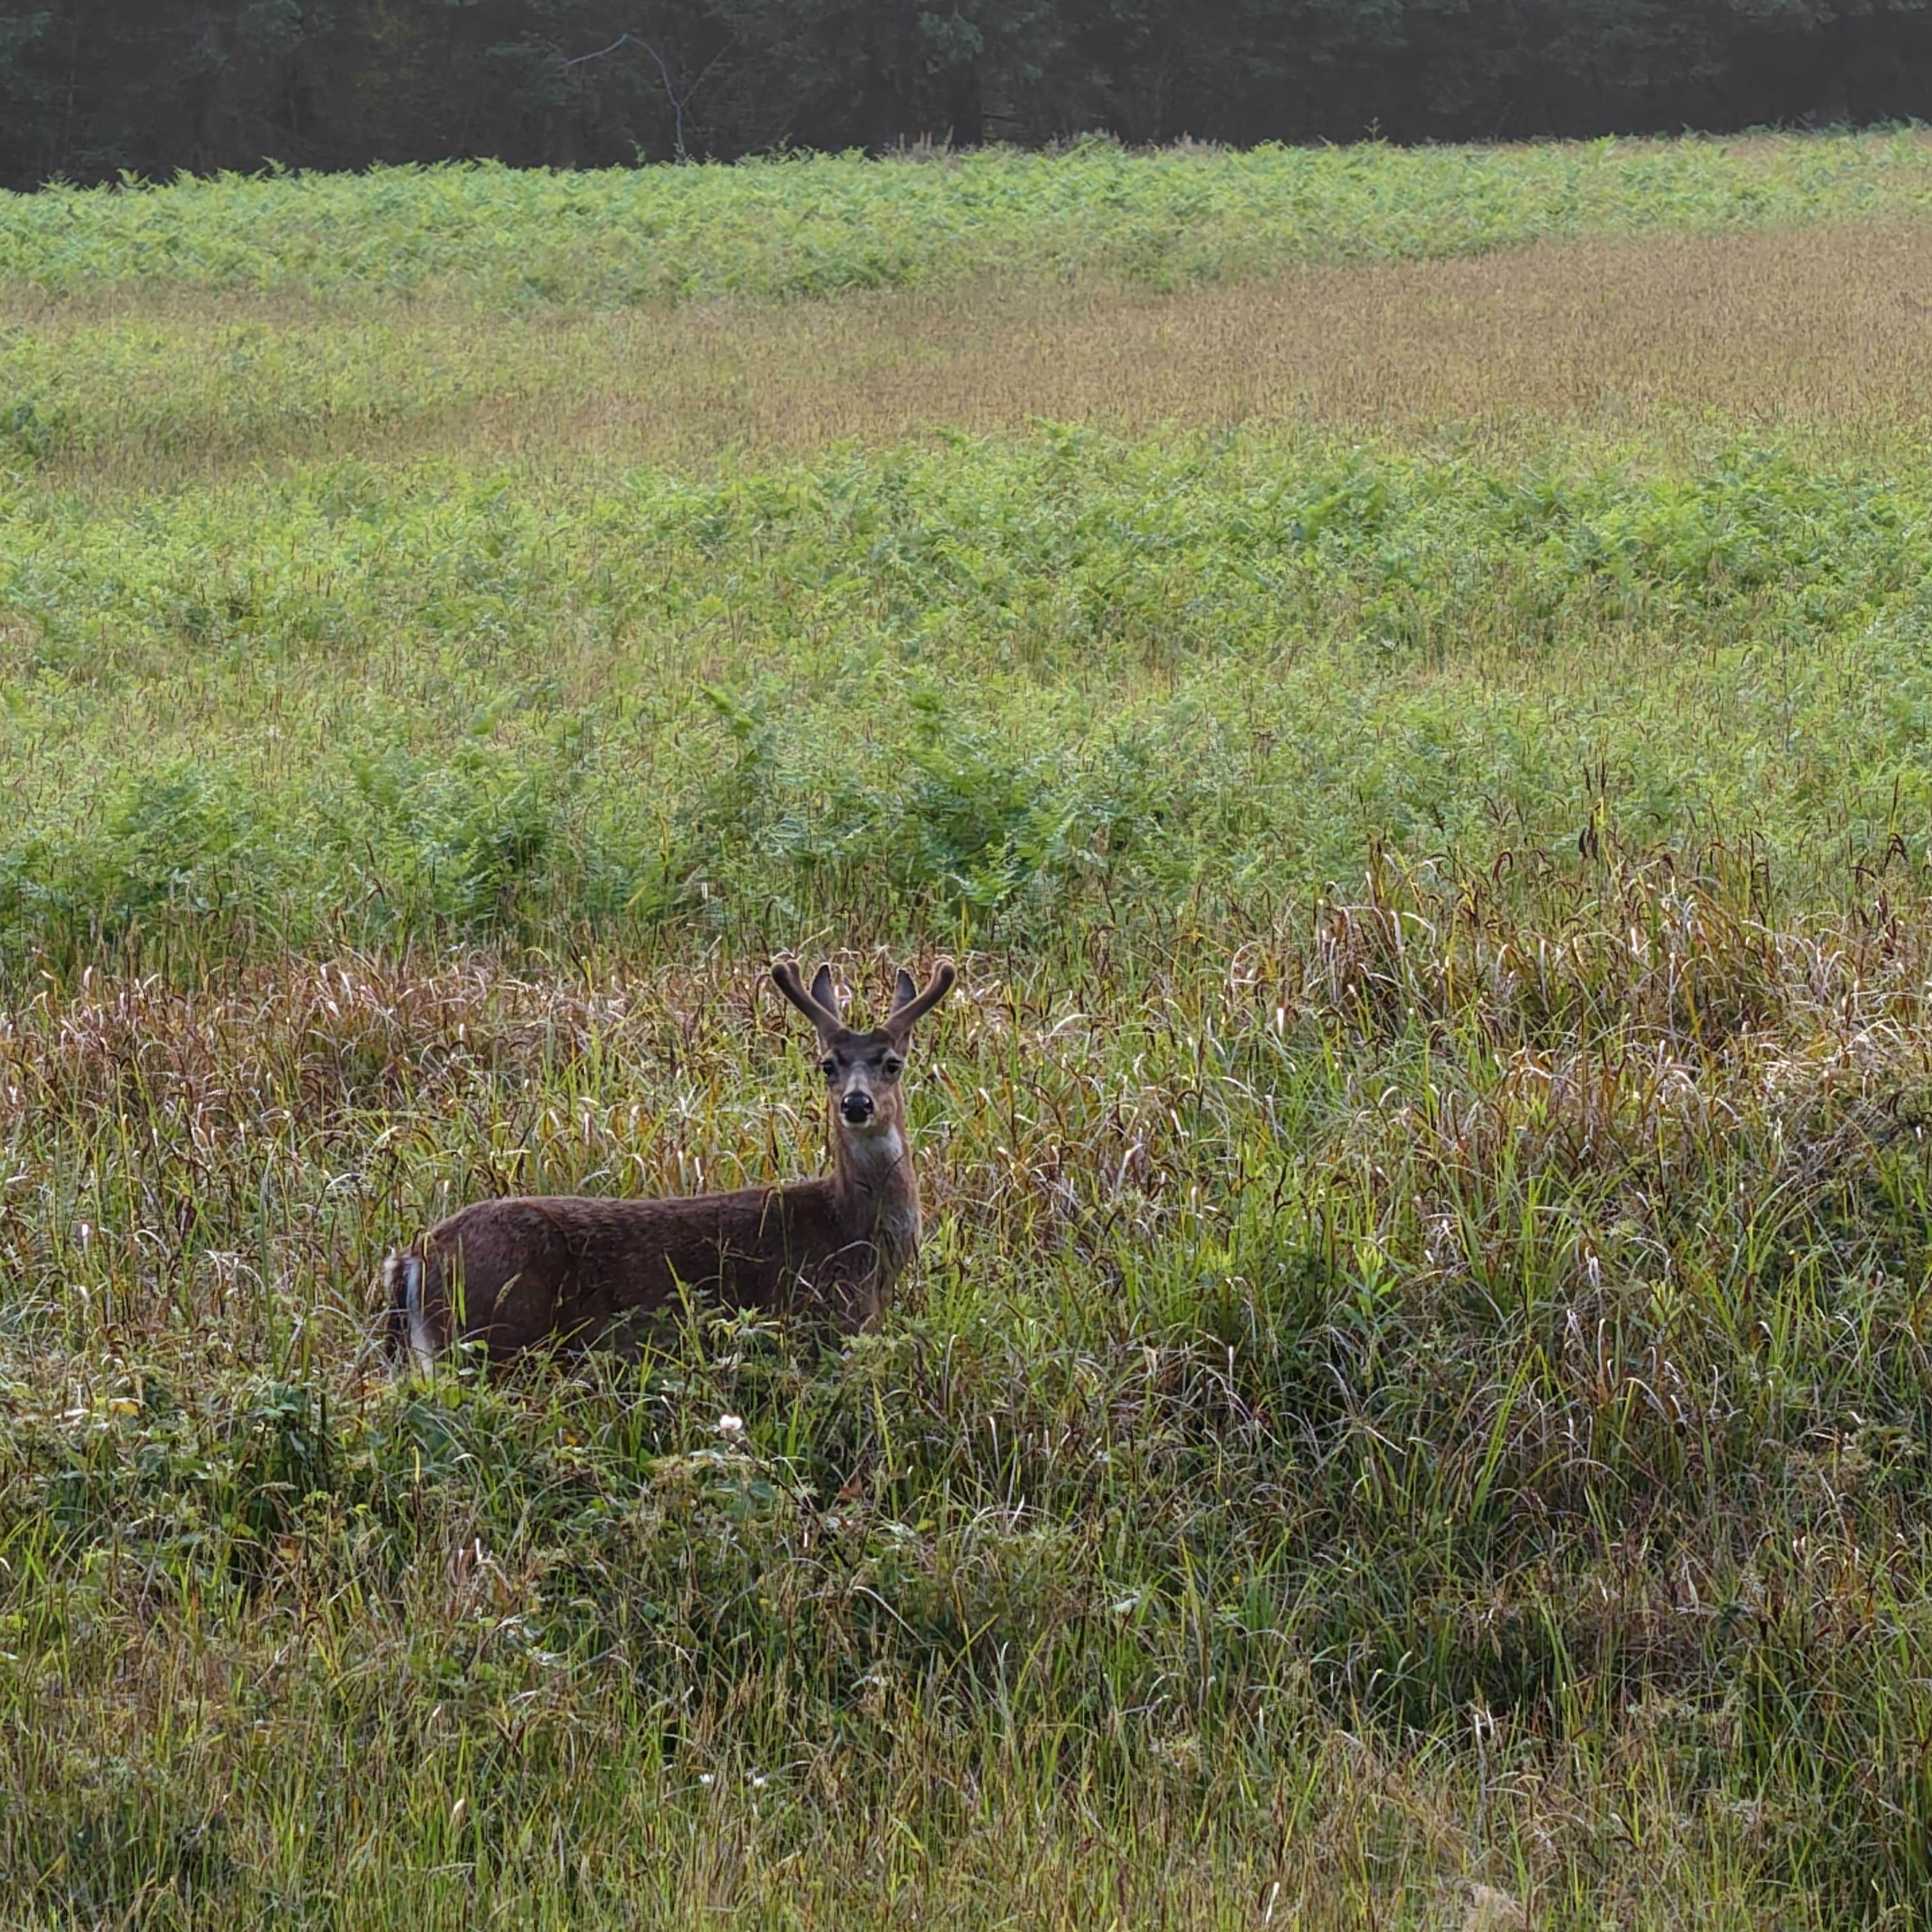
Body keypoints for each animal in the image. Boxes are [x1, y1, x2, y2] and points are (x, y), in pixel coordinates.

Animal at [381, 957, 956, 1369]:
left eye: (892, 1063)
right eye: (827, 1065)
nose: (856, 1104)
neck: (854, 1237)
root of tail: (413, 1257)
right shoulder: (823, 1317)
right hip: (495, 1335)